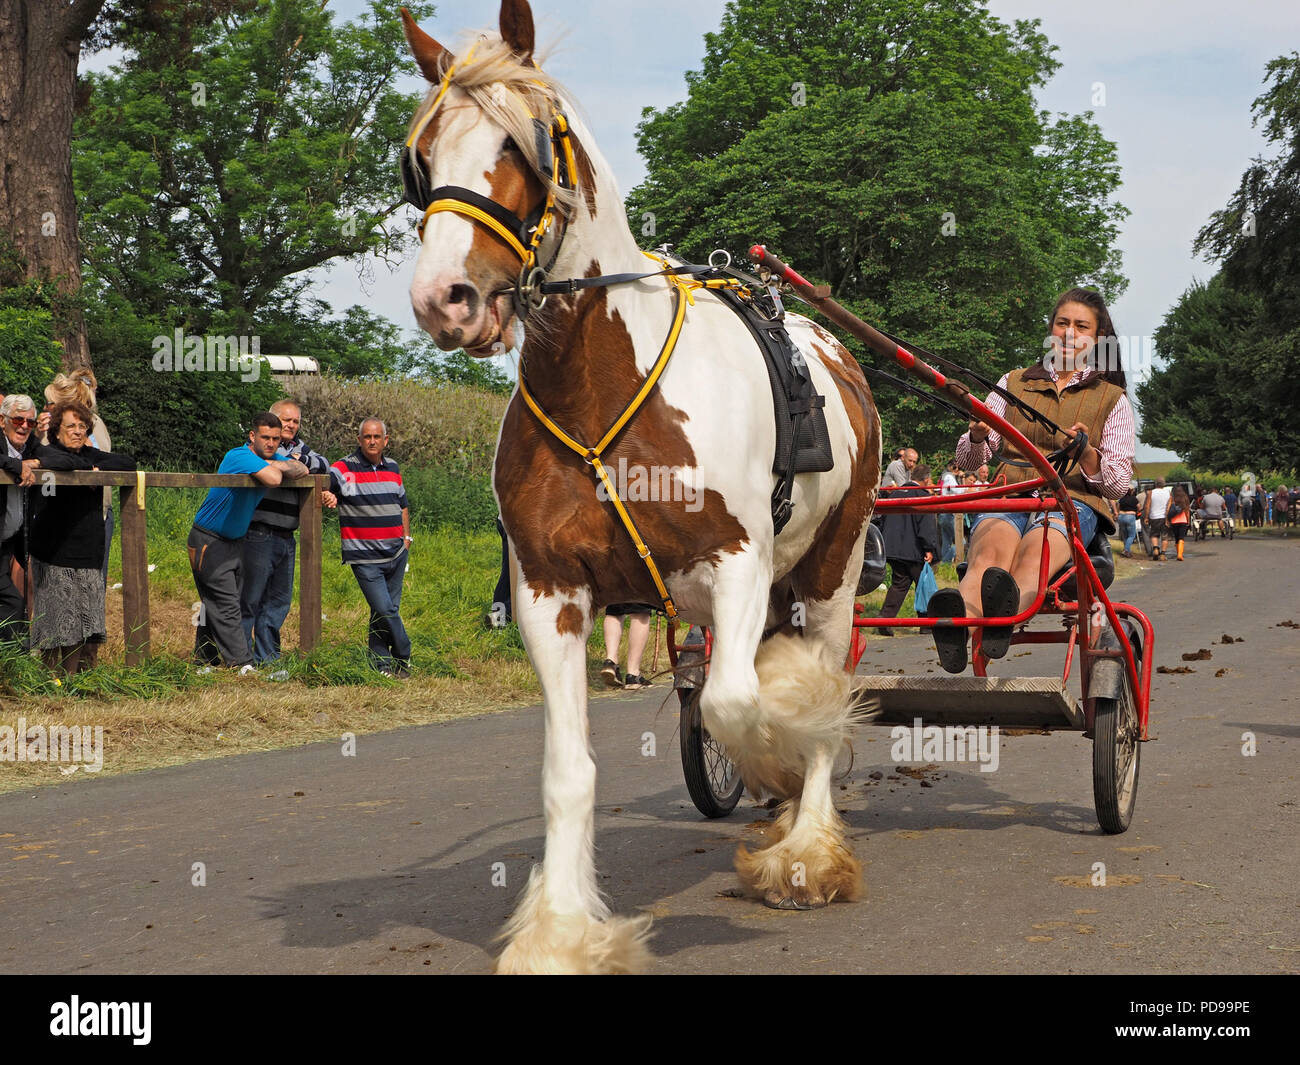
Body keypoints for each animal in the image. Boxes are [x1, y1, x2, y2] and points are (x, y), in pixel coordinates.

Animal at [400, 0, 881, 973]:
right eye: (422, 157)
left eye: (519, 143)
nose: (445, 297)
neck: (601, 386)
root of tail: (837, 352)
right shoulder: (549, 591)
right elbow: (568, 770)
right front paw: (561, 930)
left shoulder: (737, 562)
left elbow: (743, 702)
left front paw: (783, 770)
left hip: (830, 569)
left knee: (818, 671)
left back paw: (805, 842)